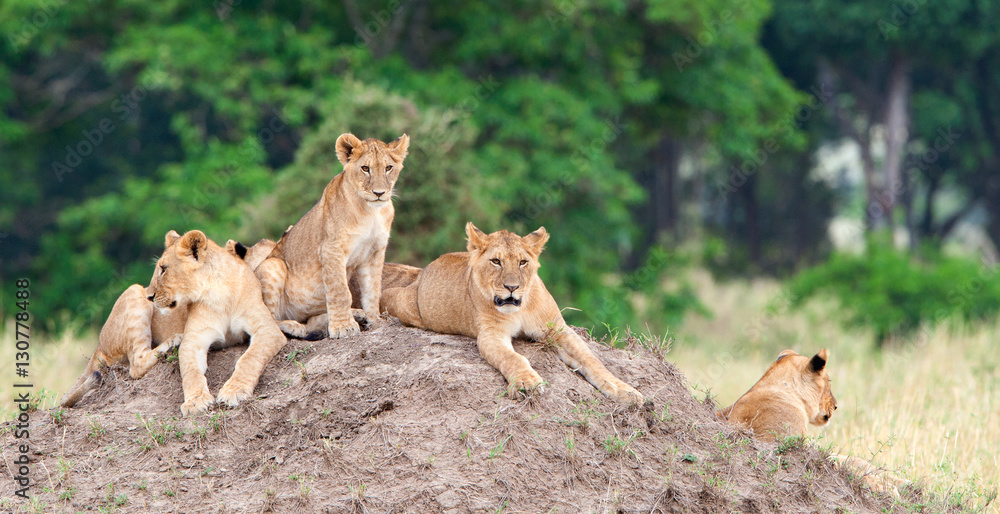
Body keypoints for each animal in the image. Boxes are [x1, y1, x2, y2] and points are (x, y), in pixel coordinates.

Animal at [60, 235, 279, 408]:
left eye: (163, 269)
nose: (150, 296)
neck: (218, 292)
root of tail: (98, 344)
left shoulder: (267, 328)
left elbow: (250, 358)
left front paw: (234, 391)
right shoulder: (195, 338)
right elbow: (191, 371)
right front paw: (195, 402)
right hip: (134, 292)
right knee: (136, 364)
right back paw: (173, 341)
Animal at [255, 133, 409, 340]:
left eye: (388, 168)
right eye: (365, 168)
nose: (379, 193)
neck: (371, 212)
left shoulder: (374, 253)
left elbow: (373, 290)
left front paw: (374, 320)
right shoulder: (331, 249)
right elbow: (340, 291)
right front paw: (343, 327)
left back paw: (355, 315)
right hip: (272, 265)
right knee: (268, 319)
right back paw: (293, 326)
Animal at [378, 222, 643, 404]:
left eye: (523, 262)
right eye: (496, 261)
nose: (512, 287)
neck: (520, 308)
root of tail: (422, 272)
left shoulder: (557, 329)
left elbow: (591, 360)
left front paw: (625, 390)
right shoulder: (491, 334)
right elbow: (513, 358)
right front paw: (527, 383)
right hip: (408, 305)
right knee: (387, 295)